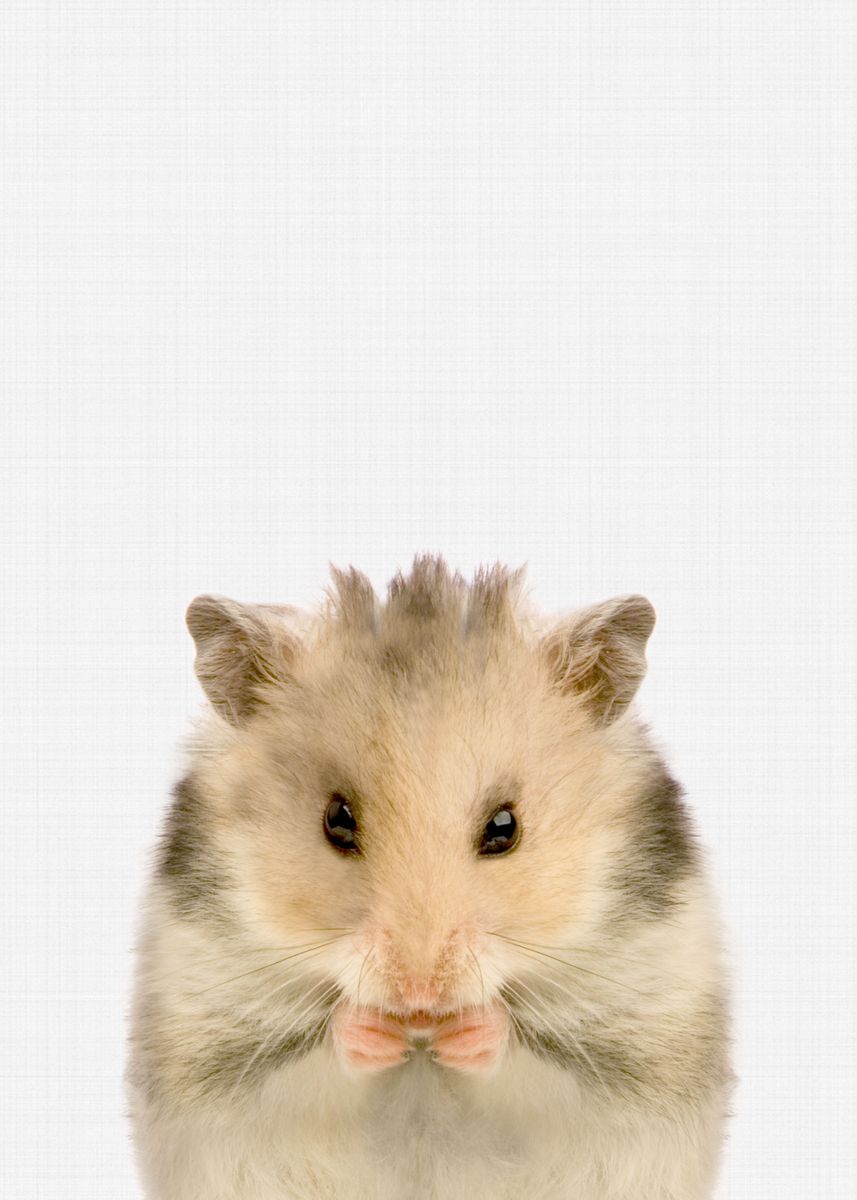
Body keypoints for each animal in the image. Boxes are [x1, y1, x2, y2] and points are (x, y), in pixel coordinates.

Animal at [126, 555, 734, 1200]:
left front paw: (470, 1030)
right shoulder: (212, 1044)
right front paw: (371, 1030)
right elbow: (315, 1064)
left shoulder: (636, 1045)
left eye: (504, 826)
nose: (419, 1000)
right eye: (336, 820)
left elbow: (527, 1065)